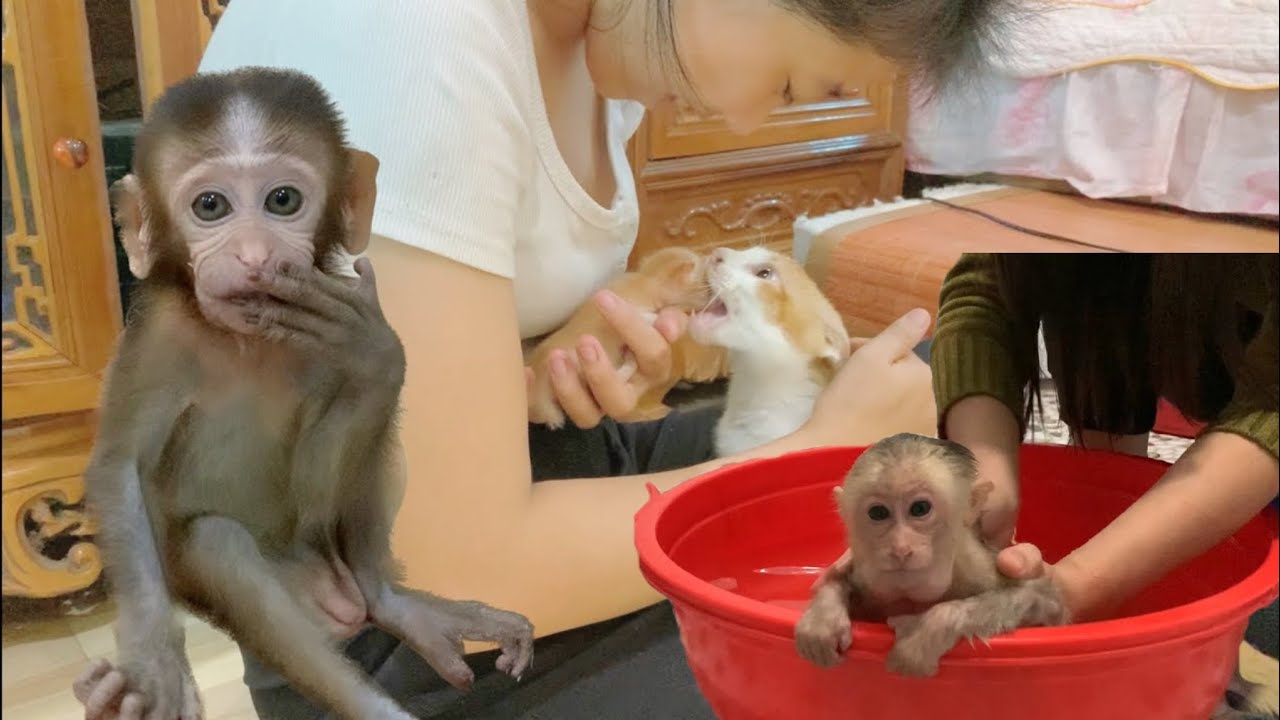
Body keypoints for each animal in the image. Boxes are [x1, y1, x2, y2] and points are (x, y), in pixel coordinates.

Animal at [73, 67, 533, 720]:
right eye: (210, 206)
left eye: (282, 200)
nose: (255, 256)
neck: (243, 341)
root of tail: (326, 585)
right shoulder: (160, 335)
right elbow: (120, 468)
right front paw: (153, 662)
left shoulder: (327, 308)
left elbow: (350, 414)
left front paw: (374, 357)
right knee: (219, 549)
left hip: (319, 545)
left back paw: (391, 601)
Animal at [795, 432, 1070, 678]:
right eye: (878, 513)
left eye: (920, 509)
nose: (900, 548)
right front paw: (824, 617)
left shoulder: (976, 565)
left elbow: (1045, 601)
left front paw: (924, 631)